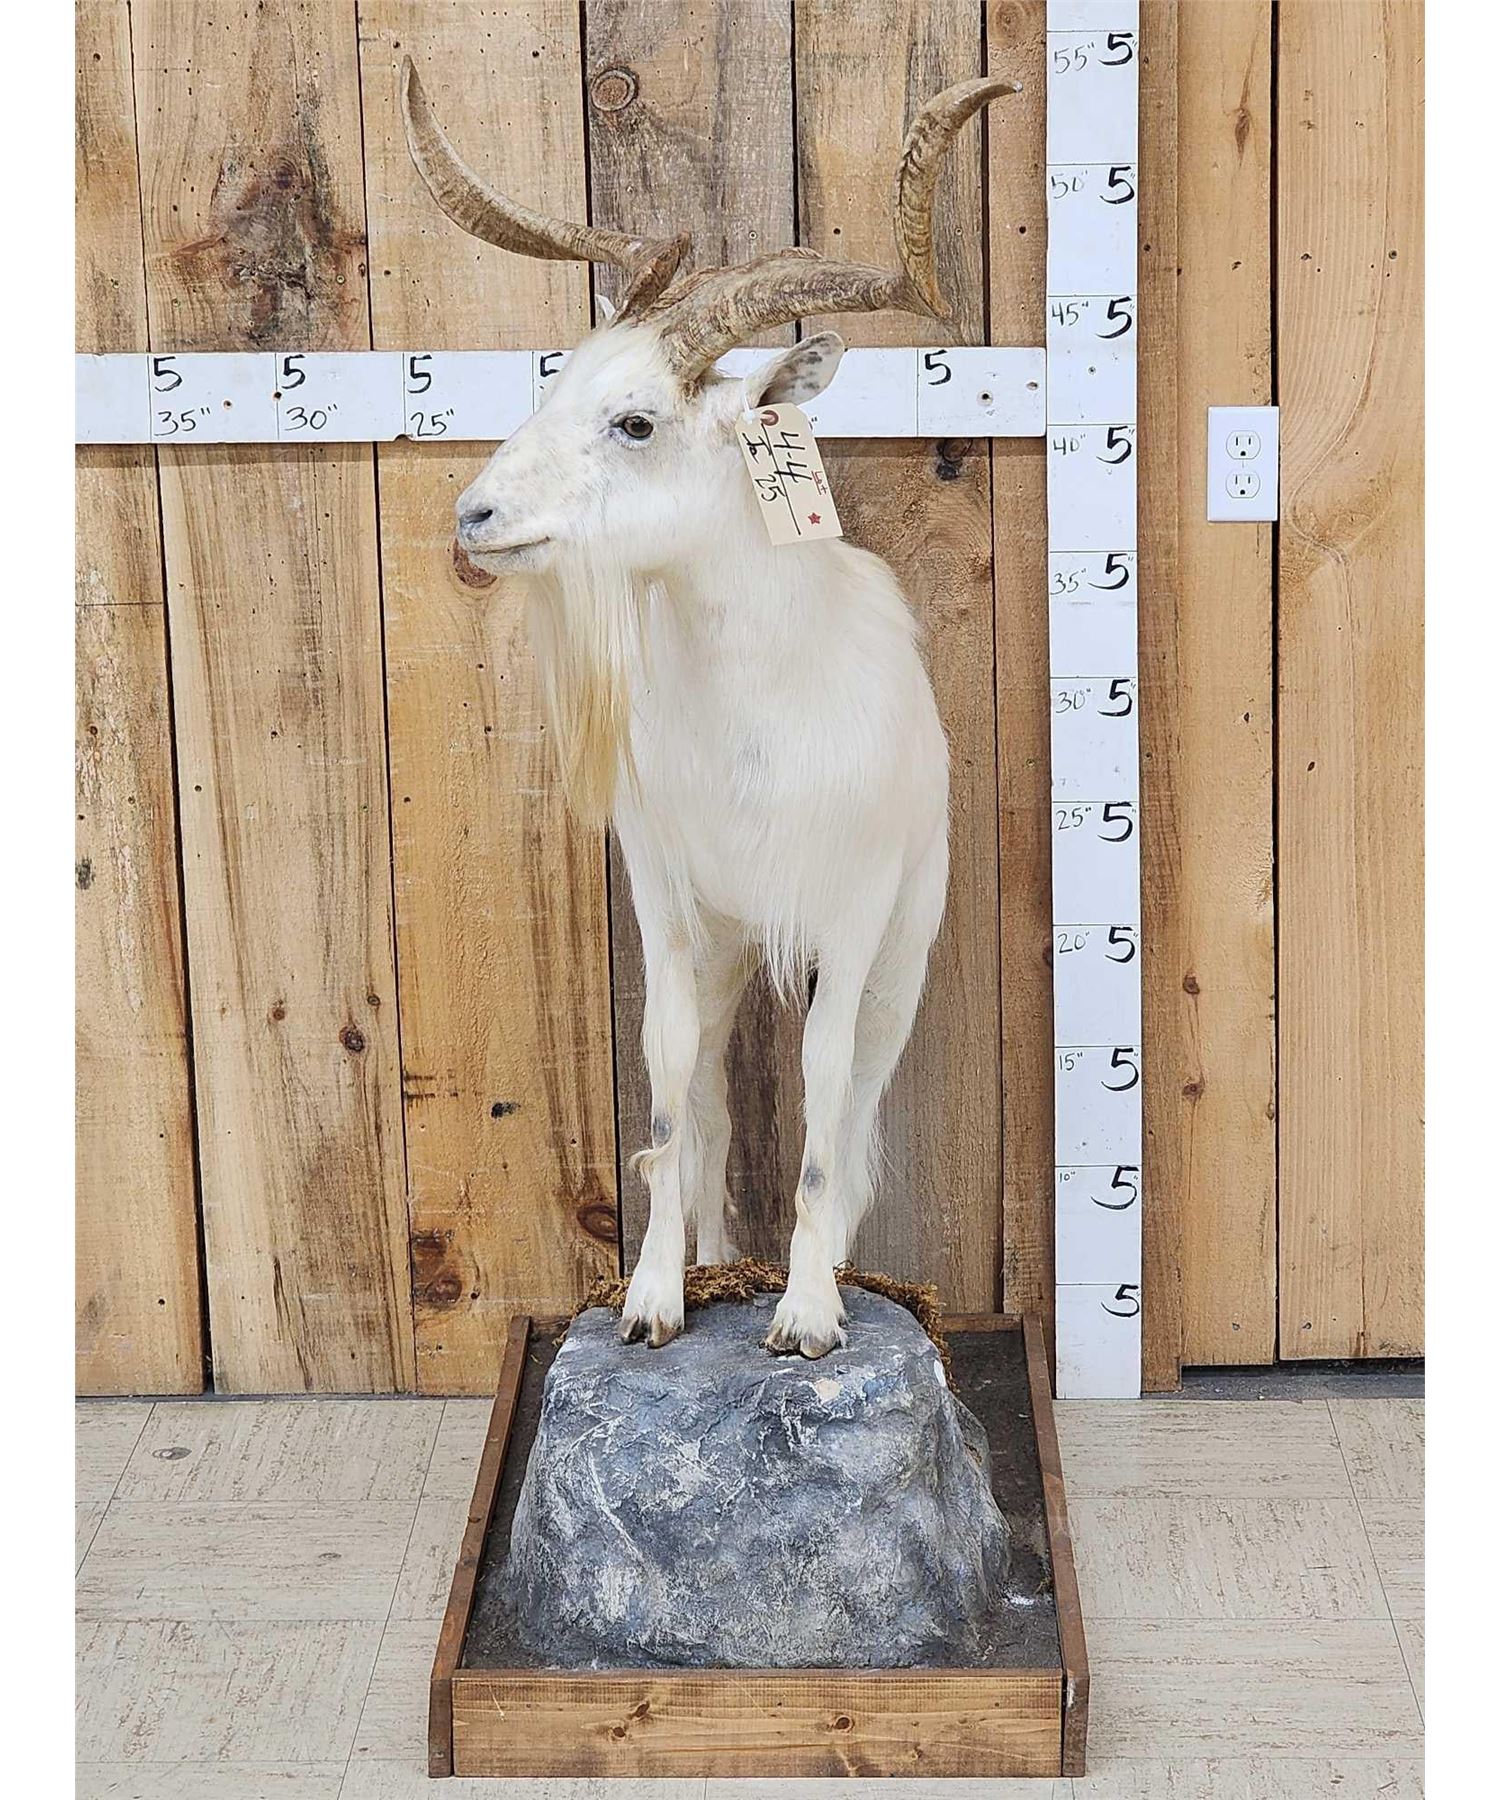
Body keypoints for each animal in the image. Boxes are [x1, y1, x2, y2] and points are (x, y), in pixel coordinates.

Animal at [402, 60, 1018, 1357]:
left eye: (637, 420)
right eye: (559, 379)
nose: (476, 516)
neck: (757, 731)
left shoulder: (848, 917)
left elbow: (826, 1100)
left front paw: (807, 1311)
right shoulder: (673, 908)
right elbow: (673, 1093)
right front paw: (655, 1297)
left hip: (901, 950)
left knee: (855, 1099)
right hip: (734, 949)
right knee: (718, 1102)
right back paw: (715, 1255)